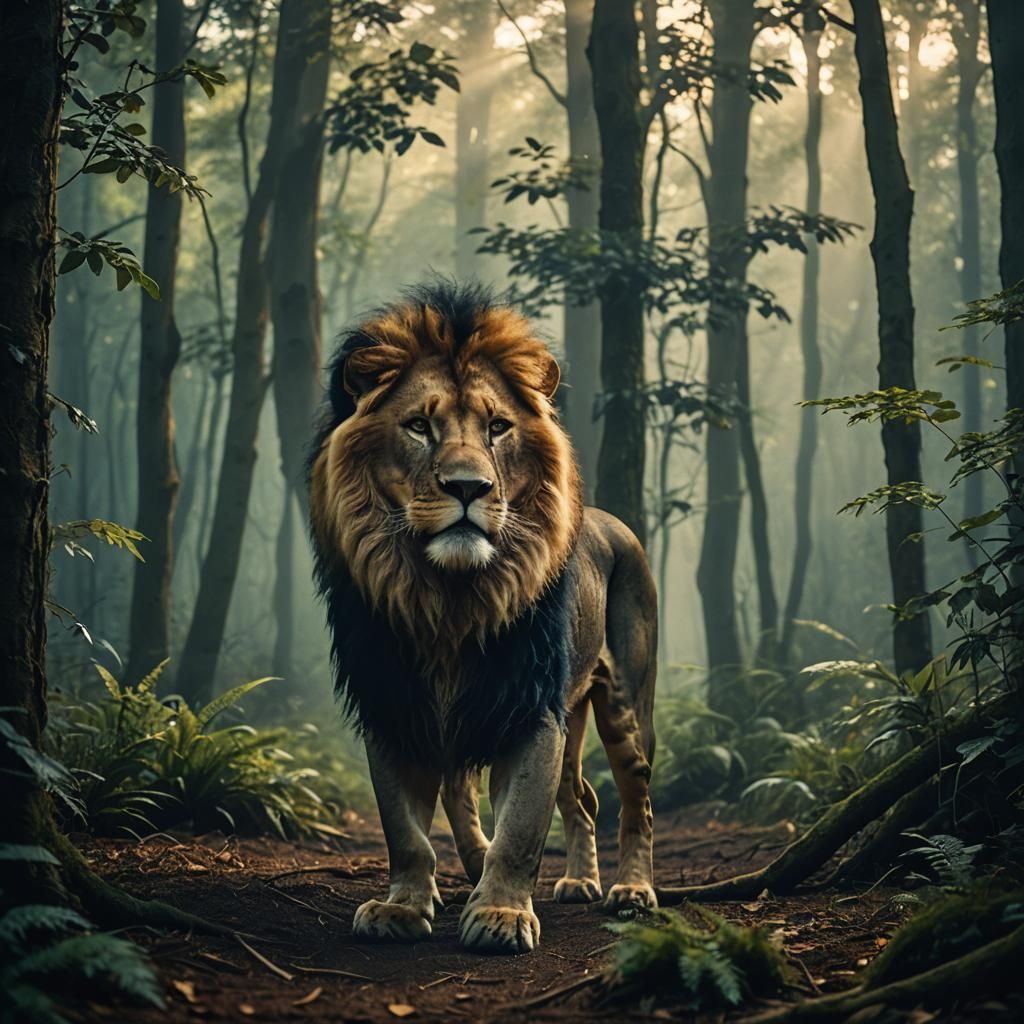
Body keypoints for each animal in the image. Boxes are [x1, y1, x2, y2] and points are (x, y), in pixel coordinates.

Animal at [308, 281, 658, 954]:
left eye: (497, 427)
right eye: (419, 426)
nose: (468, 487)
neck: (449, 597)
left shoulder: (530, 710)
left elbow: (520, 827)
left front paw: (500, 915)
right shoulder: (394, 706)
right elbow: (406, 832)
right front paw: (402, 907)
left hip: (626, 703)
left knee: (635, 798)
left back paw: (632, 890)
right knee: (574, 797)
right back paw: (567, 879)